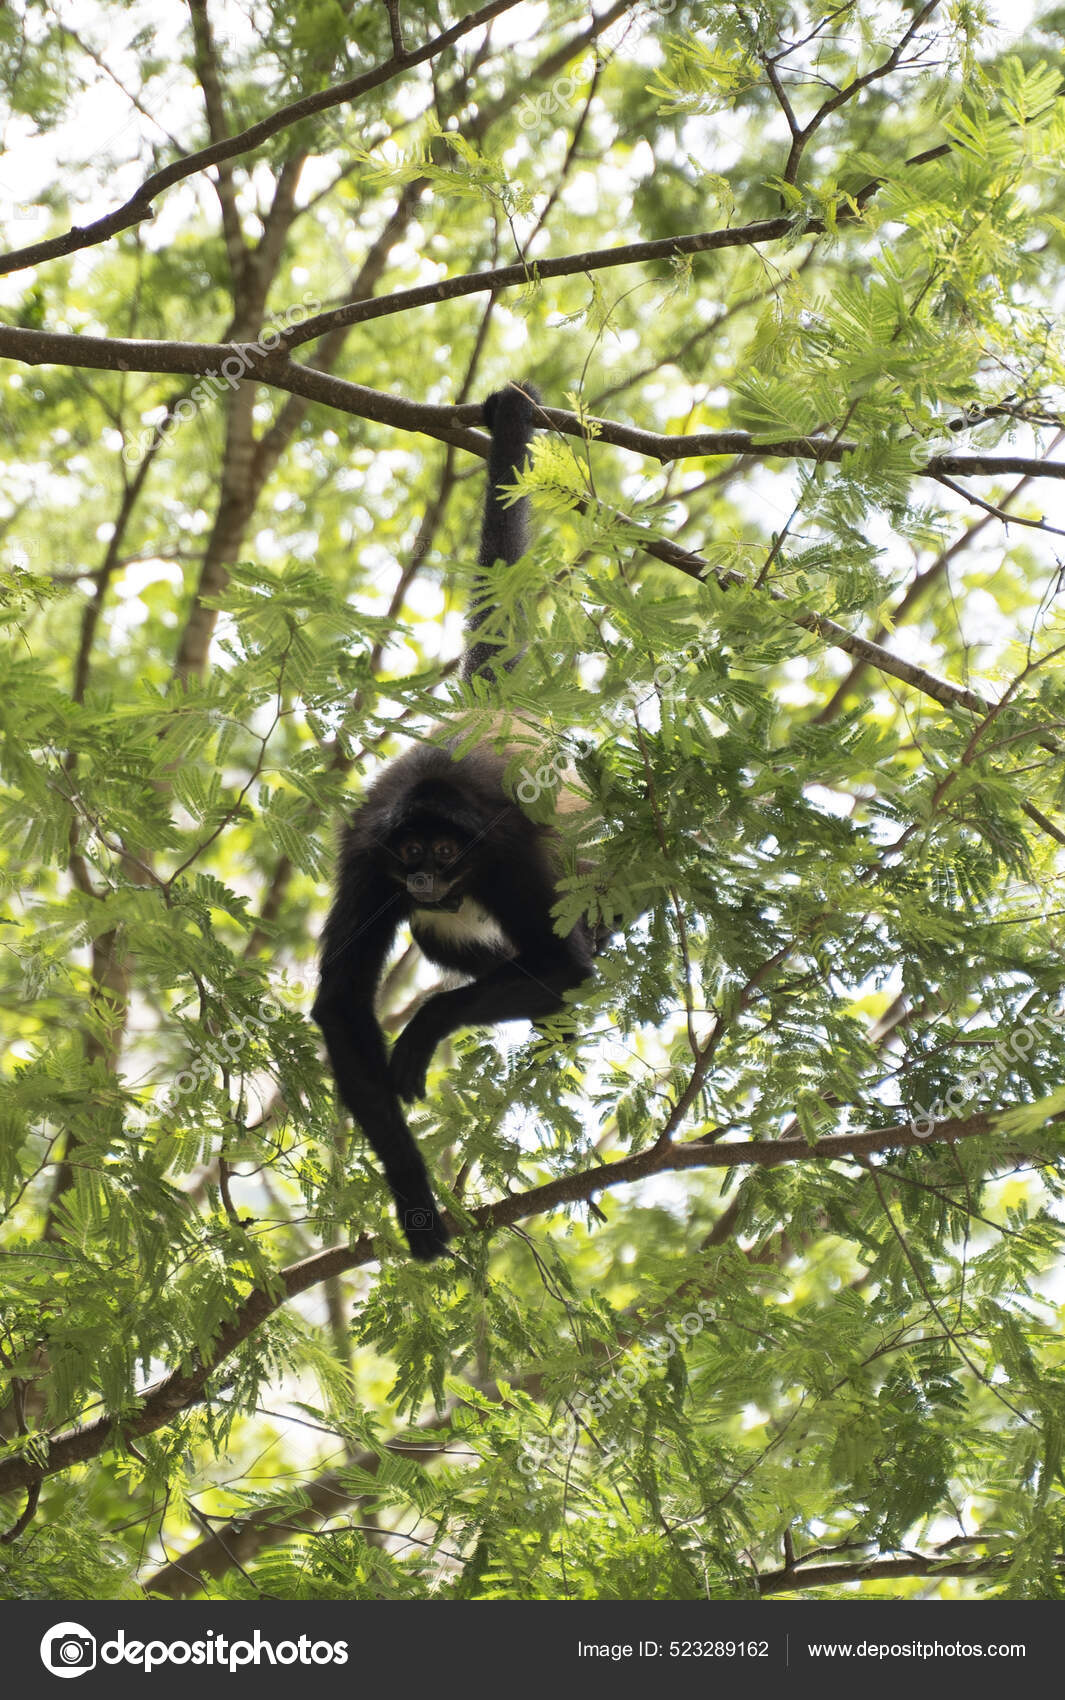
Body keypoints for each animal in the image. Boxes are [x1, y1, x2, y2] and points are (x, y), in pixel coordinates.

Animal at [312, 381, 600, 1261]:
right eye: (411, 849)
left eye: (444, 848)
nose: (425, 876)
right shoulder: (366, 853)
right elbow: (341, 1004)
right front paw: (412, 1197)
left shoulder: (504, 852)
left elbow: (565, 966)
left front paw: (425, 1027)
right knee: (439, 937)